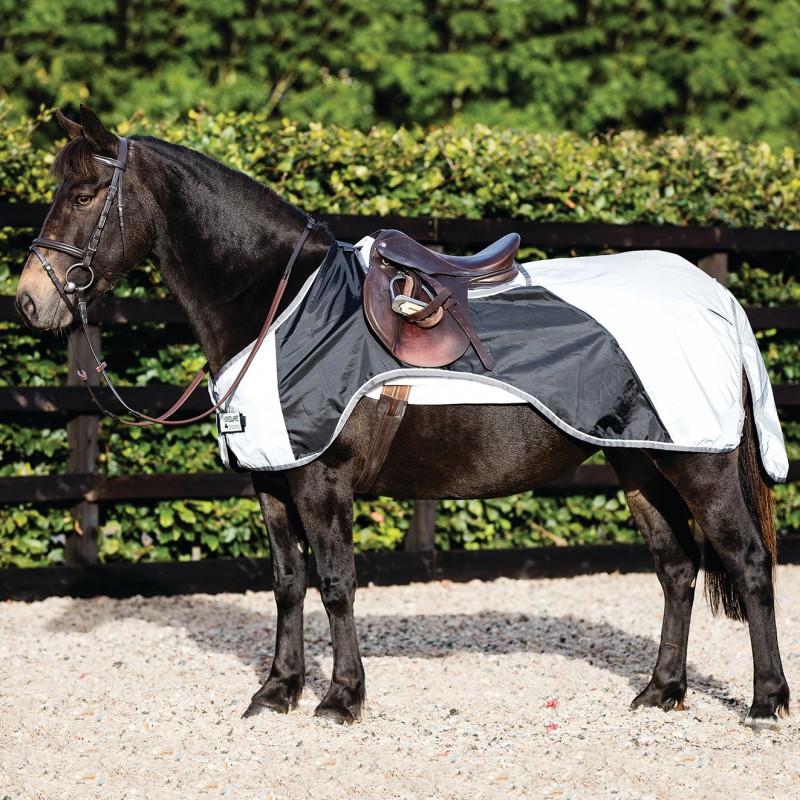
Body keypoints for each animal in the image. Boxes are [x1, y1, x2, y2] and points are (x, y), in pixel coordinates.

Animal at [15, 106, 790, 729]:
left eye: (83, 194)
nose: (30, 301)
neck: (281, 311)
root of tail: (715, 295)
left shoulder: (321, 482)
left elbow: (335, 583)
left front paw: (340, 699)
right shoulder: (271, 482)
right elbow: (287, 584)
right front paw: (276, 691)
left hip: (700, 463)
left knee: (749, 563)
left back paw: (766, 702)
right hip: (639, 459)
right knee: (677, 568)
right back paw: (662, 691)